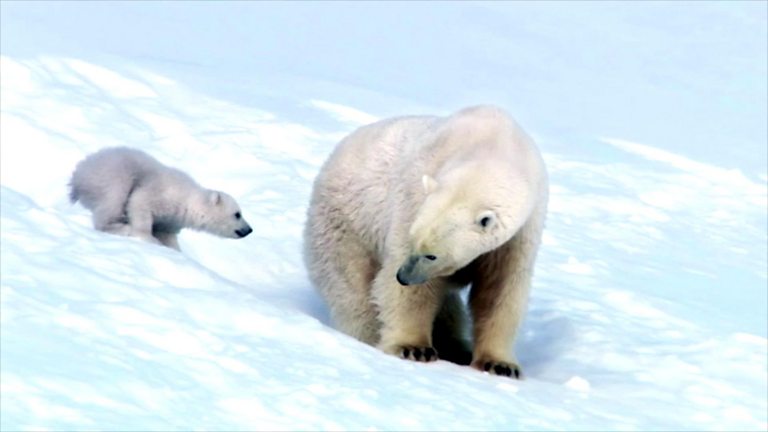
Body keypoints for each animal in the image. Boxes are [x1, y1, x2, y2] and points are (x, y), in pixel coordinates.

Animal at [69, 146, 252, 250]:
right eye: (237, 214)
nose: (249, 229)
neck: (189, 200)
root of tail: (77, 175)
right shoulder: (163, 194)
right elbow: (139, 204)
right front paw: (147, 238)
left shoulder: (171, 219)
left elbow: (167, 235)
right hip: (113, 175)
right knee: (113, 201)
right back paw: (120, 227)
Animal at [303, 105, 548, 378]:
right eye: (413, 241)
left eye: (432, 255)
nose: (403, 277)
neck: (493, 144)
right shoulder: (414, 197)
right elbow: (412, 292)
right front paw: (413, 348)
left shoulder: (520, 232)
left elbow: (500, 289)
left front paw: (500, 365)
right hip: (345, 227)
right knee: (353, 291)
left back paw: (457, 348)